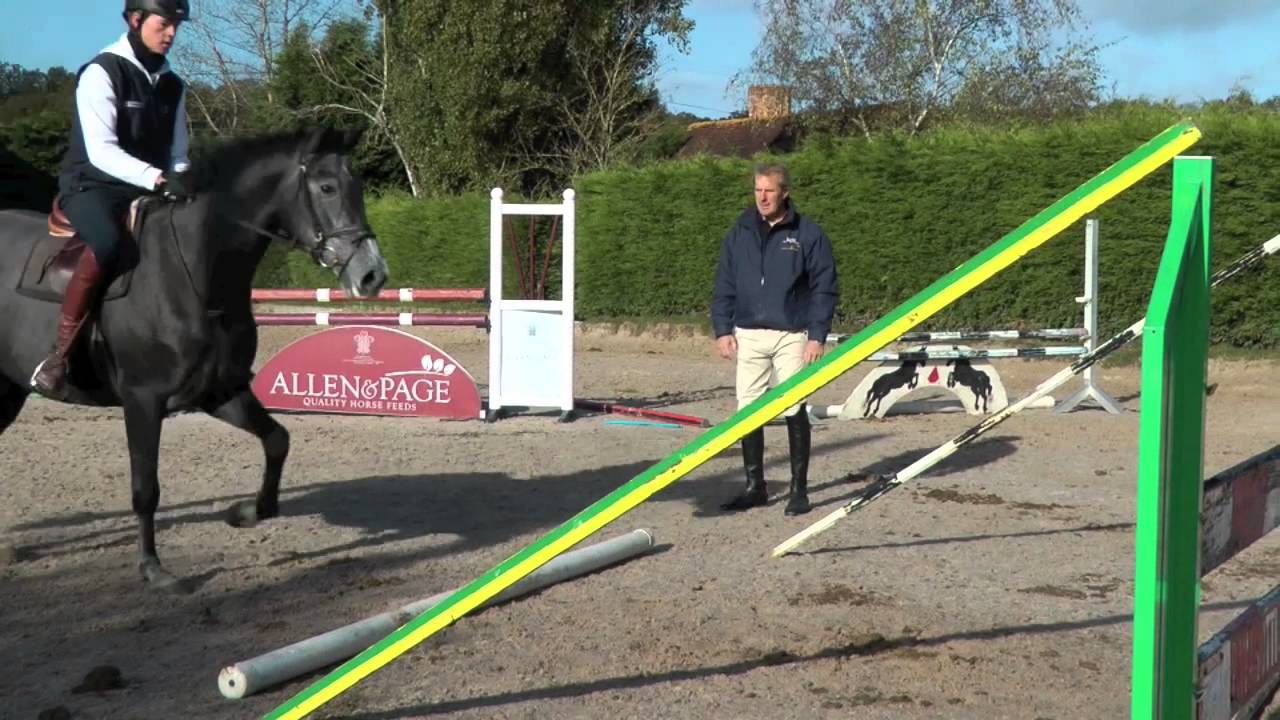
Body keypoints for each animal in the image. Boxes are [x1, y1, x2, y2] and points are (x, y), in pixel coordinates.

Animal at [0, 127, 389, 592]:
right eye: (327, 187)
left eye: (358, 187)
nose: (373, 275)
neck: (196, 275)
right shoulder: (143, 401)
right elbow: (145, 487)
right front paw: (153, 568)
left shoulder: (218, 392)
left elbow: (277, 440)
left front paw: (246, 512)